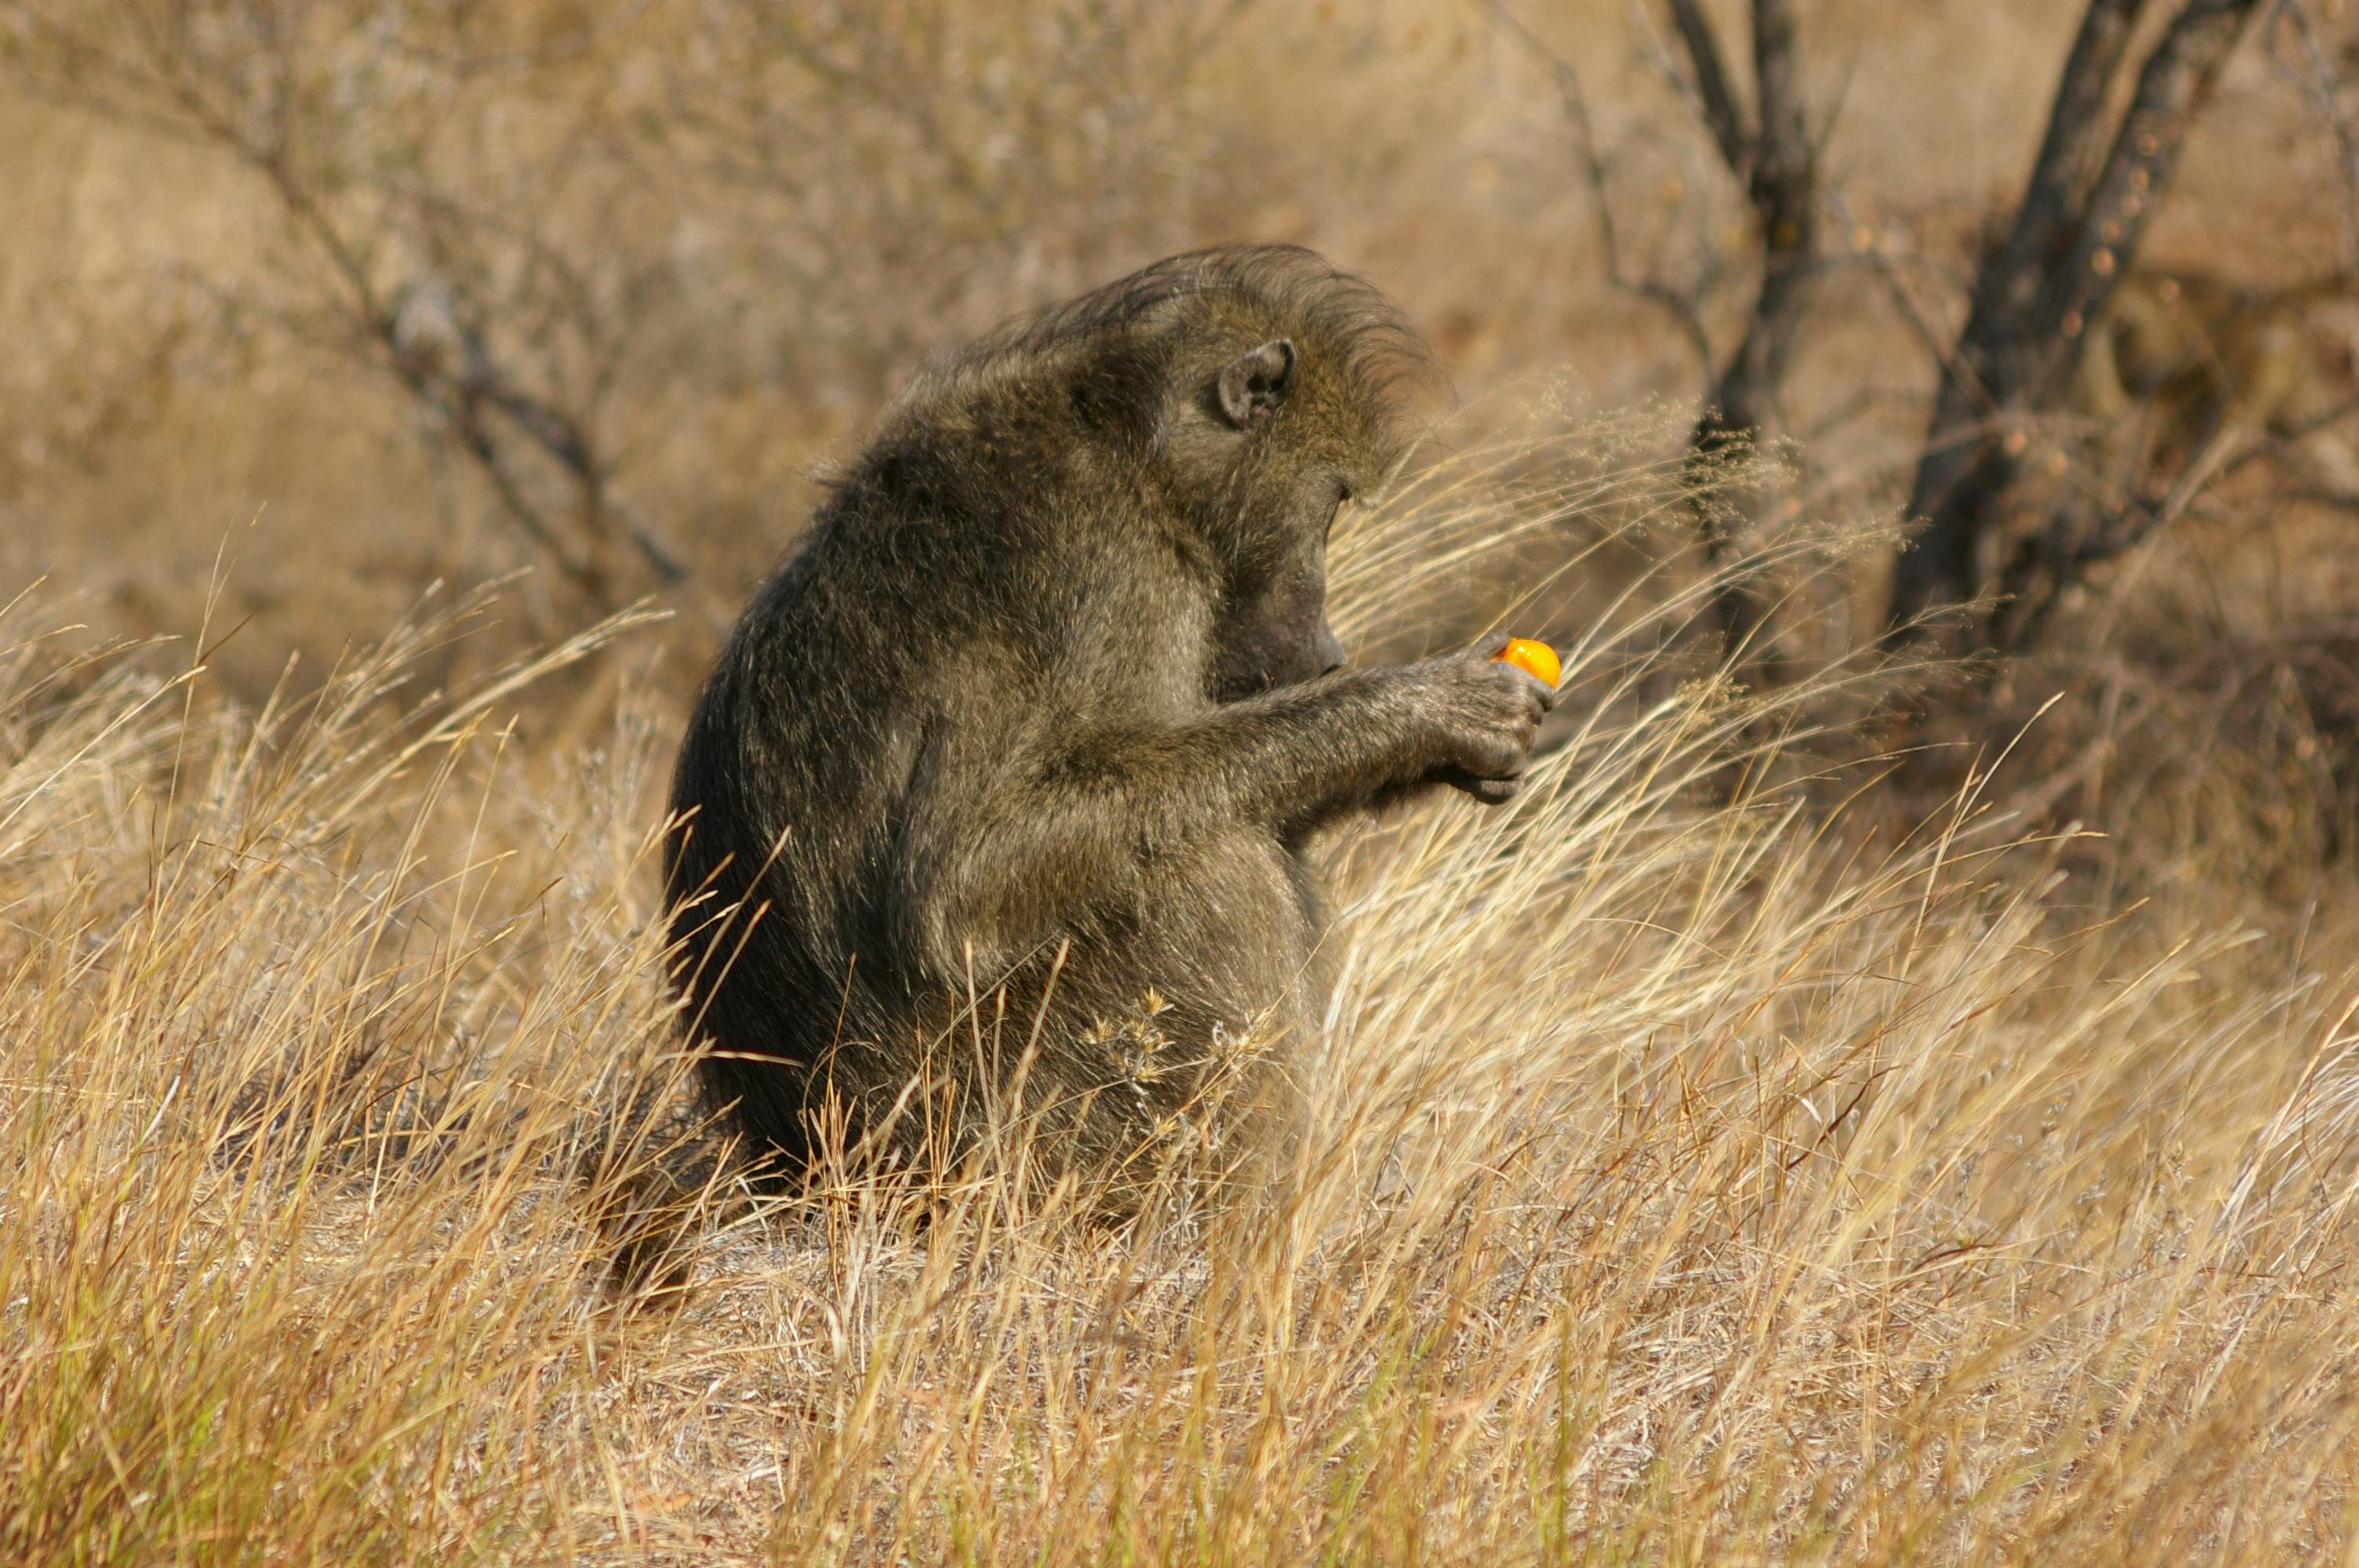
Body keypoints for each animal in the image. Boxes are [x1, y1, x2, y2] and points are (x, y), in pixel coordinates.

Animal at [663, 245, 1559, 1205]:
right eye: (1331, 504)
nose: (1327, 651)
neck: (1138, 451)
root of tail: (813, 1171)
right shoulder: (1112, 566)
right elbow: (962, 880)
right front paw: (1428, 709)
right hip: (1016, 1128)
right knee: (1211, 866)